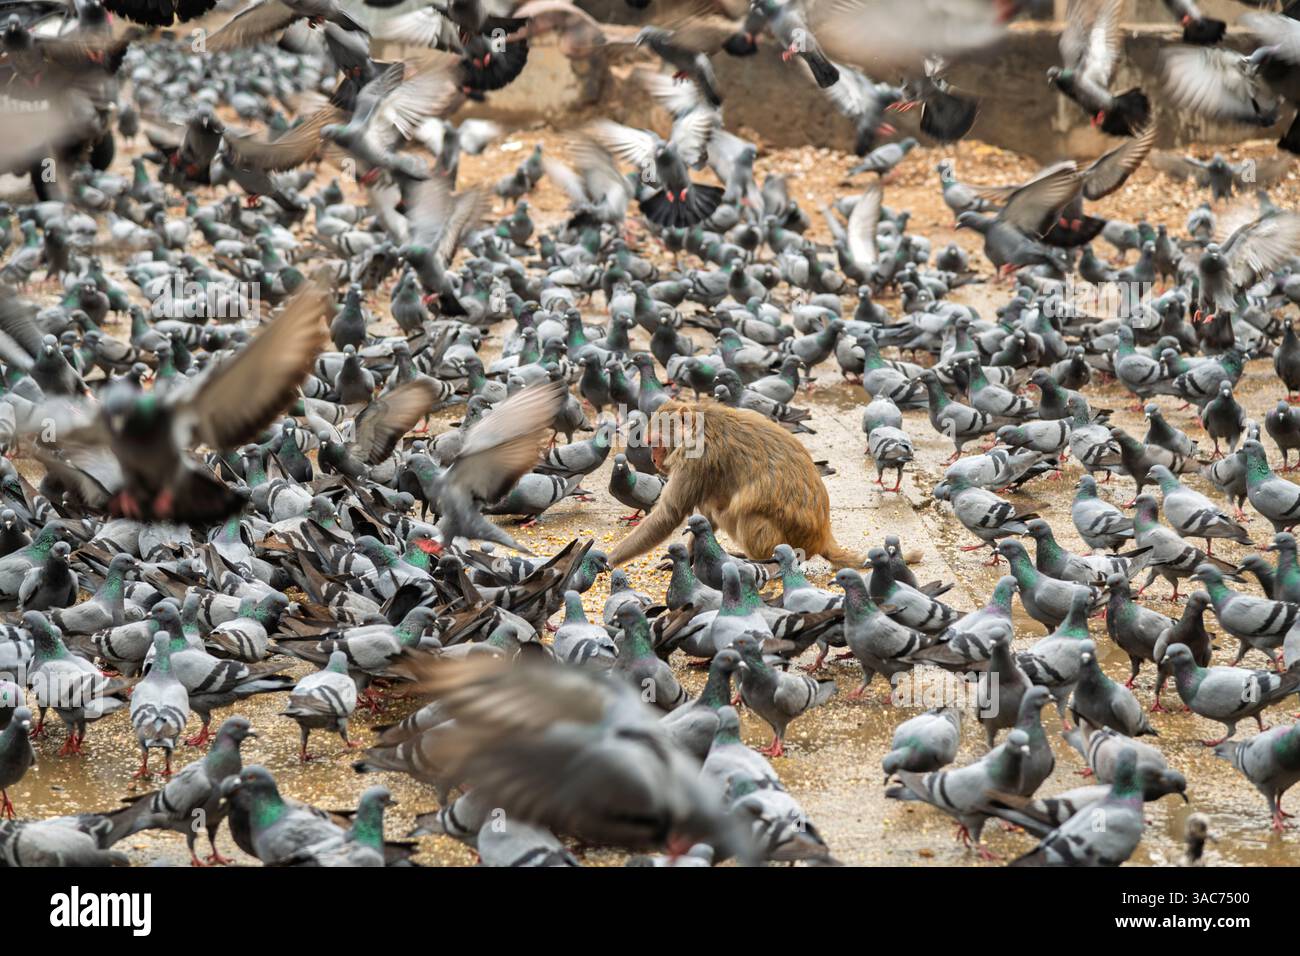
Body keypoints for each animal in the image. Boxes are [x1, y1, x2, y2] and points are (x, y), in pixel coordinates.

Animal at [608, 398, 864, 568]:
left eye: (656, 443)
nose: (653, 459)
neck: (698, 427)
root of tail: (821, 537)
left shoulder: (695, 459)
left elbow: (669, 515)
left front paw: (609, 561)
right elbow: (705, 517)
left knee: (746, 515)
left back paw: (761, 560)